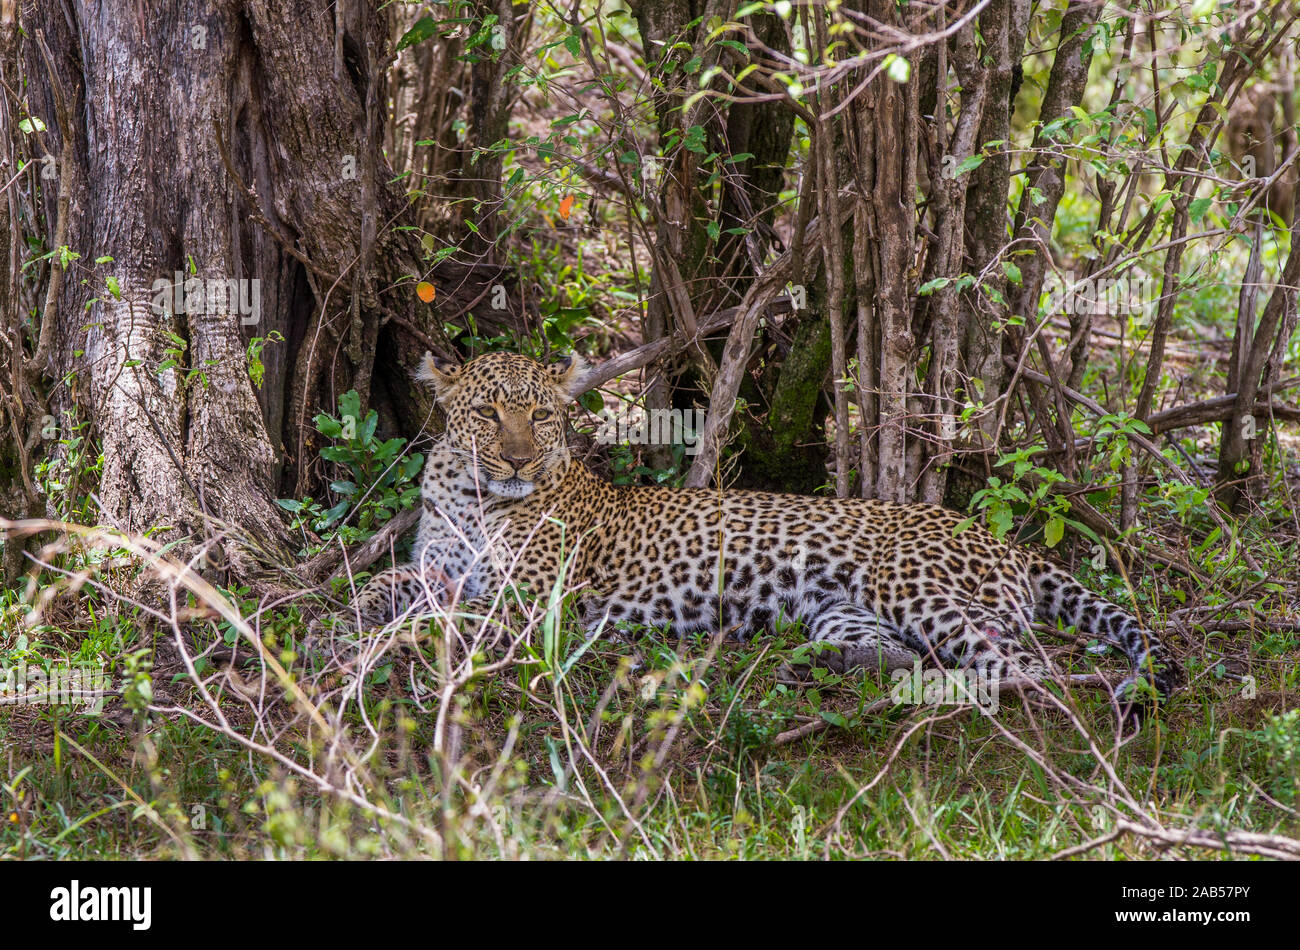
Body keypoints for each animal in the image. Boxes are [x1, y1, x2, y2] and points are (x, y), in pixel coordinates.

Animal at [345, 350, 1181, 711]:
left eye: (542, 414)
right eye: (489, 413)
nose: (519, 458)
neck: (472, 493)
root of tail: (999, 538)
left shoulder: (525, 602)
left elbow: (447, 618)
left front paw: (376, 637)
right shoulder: (441, 564)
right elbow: (394, 583)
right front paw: (351, 611)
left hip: (914, 585)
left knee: (1026, 665)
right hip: (840, 606)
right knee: (903, 651)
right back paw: (845, 670)